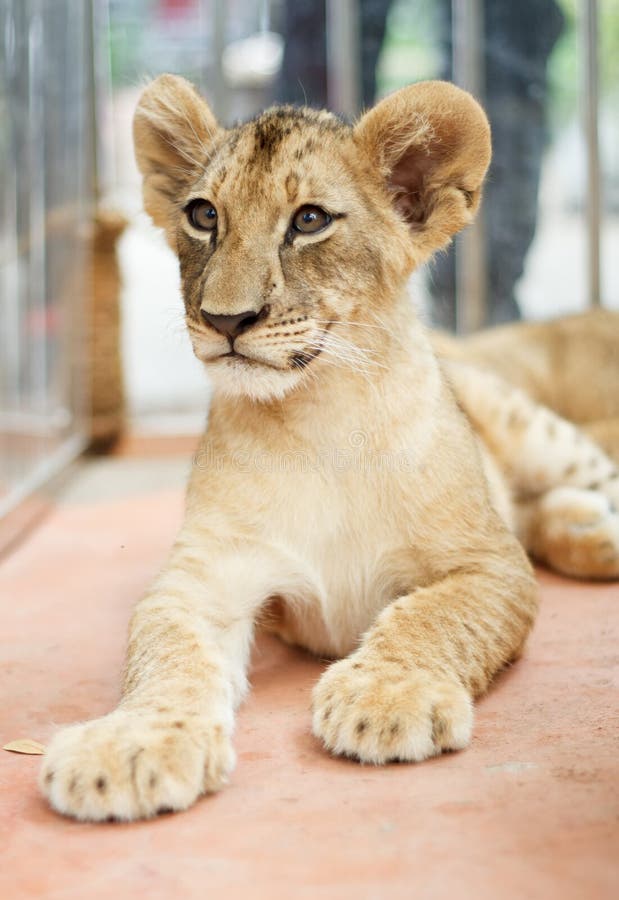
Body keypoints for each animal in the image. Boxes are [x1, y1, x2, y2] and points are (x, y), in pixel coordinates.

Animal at [40, 75, 619, 821]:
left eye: (310, 220)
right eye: (203, 214)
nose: (225, 320)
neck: (322, 419)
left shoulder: (490, 565)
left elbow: (430, 615)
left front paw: (387, 695)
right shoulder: (199, 579)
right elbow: (166, 652)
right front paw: (129, 743)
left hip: (534, 430)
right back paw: (586, 530)